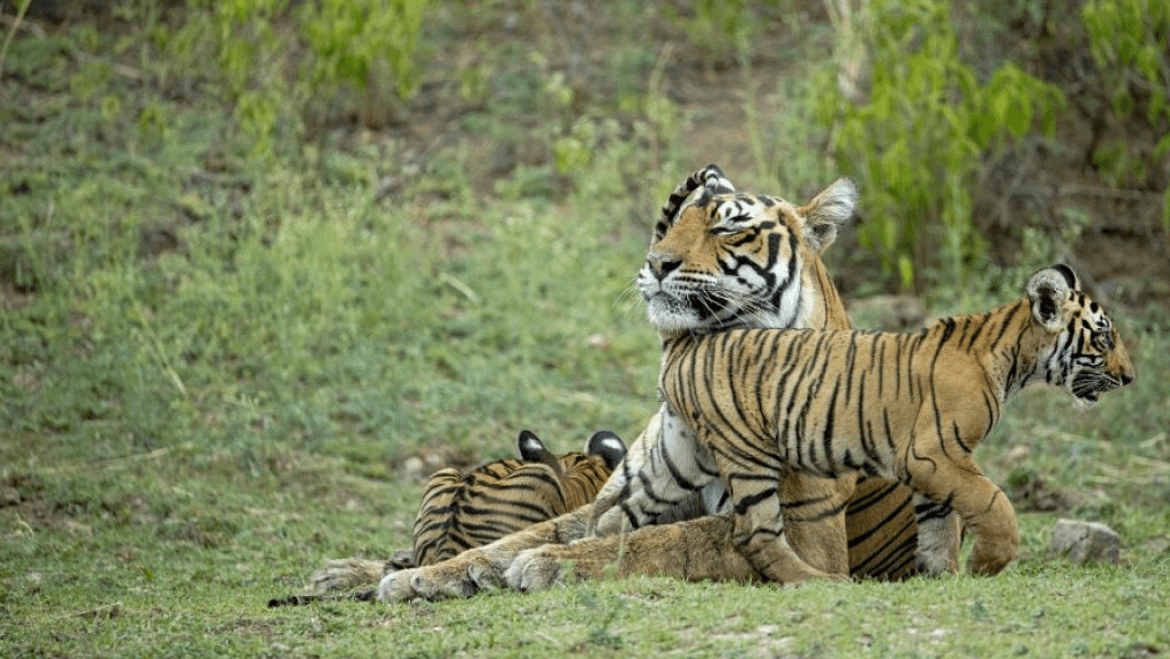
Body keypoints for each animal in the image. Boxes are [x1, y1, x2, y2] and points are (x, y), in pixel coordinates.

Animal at [376, 165, 922, 602]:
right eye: (676, 223)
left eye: (727, 228)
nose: (656, 263)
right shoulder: (611, 503)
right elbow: (517, 538)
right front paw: (424, 575)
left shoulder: (807, 538)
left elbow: (671, 541)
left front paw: (551, 564)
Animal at [572, 263, 1134, 586]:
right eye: (1104, 338)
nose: (1130, 377)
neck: (1014, 358)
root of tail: (686, 341)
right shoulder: (935, 454)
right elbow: (995, 506)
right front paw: (985, 566)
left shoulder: (930, 469)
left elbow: (940, 524)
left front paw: (943, 577)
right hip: (748, 452)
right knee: (753, 533)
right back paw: (816, 581)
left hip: (680, 457)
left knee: (612, 516)